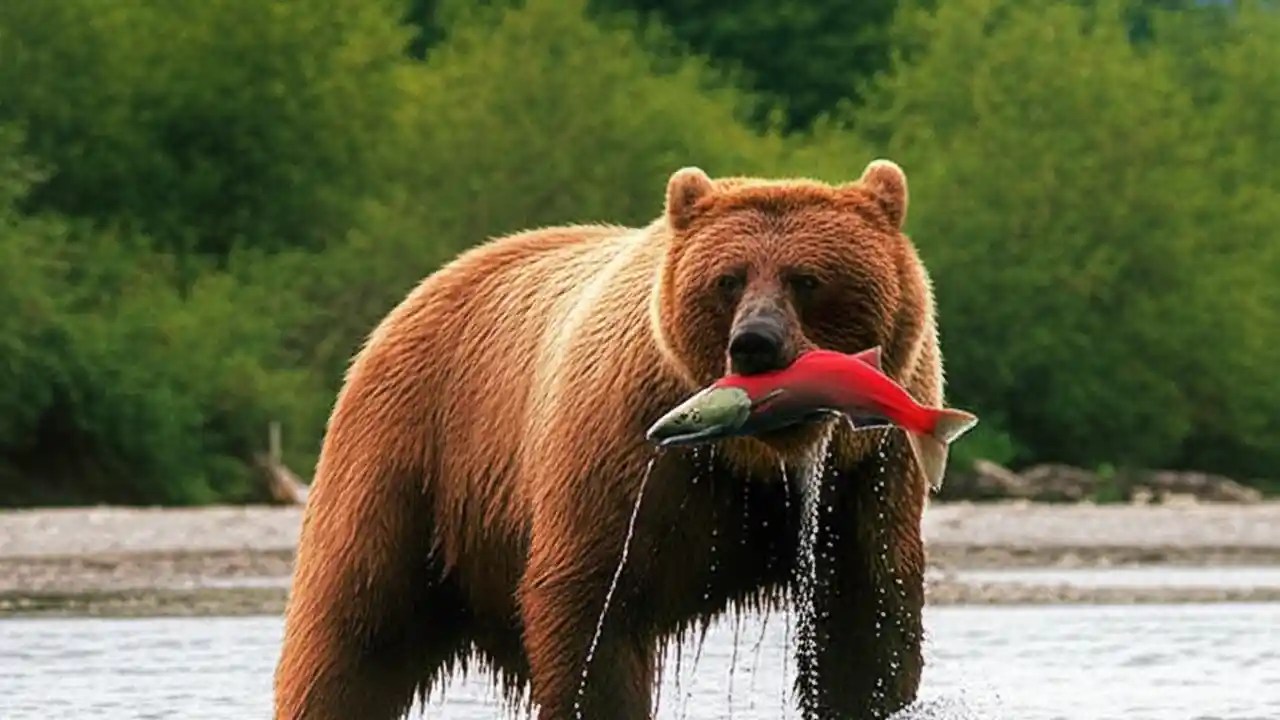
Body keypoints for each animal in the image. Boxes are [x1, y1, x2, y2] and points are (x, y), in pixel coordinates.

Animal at [274, 158, 943, 720]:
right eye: (728, 279)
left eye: (807, 278)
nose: (755, 343)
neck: (754, 458)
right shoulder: (623, 452)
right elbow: (592, 611)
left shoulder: (862, 475)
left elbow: (863, 620)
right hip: (411, 459)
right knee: (351, 630)